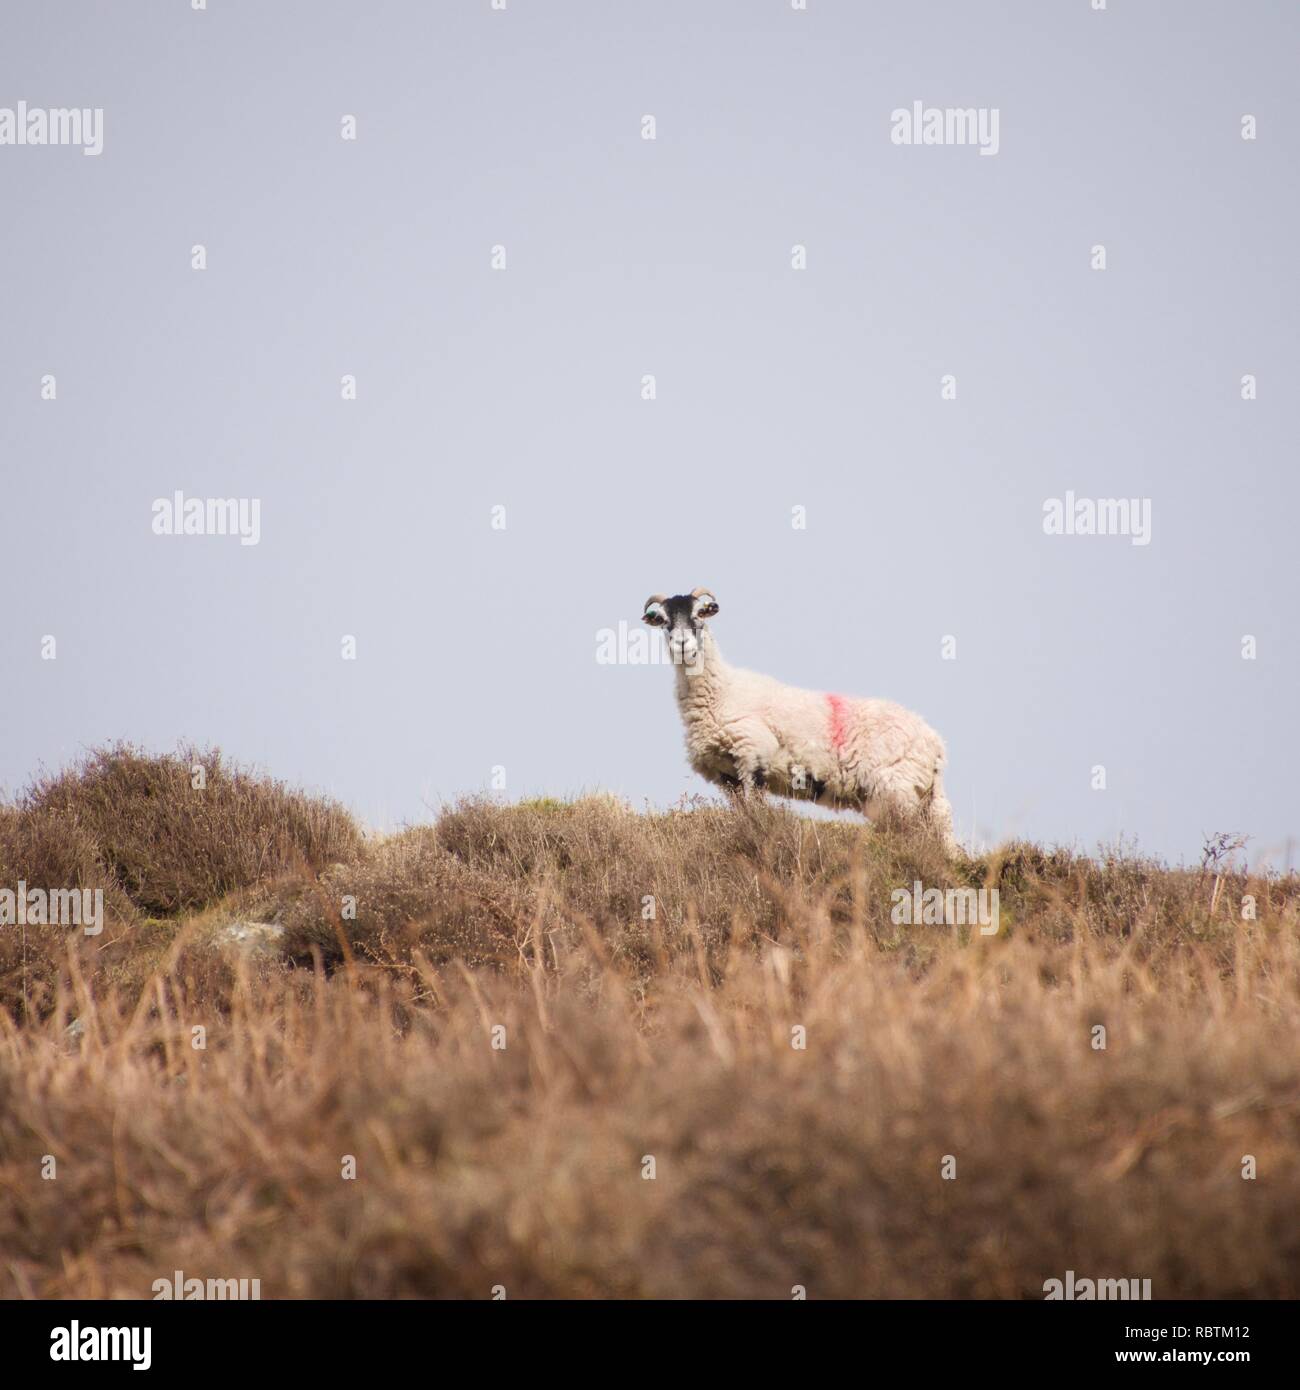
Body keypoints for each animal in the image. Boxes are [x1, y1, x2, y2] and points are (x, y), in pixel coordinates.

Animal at [643, 588, 957, 850]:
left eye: (699, 615)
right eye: (665, 621)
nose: (682, 644)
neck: (722, 691)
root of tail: (934, 743)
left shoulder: (751, 755)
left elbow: (754, 809)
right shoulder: (725, 773)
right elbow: (742, 811)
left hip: (898, 790)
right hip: (921, 797)